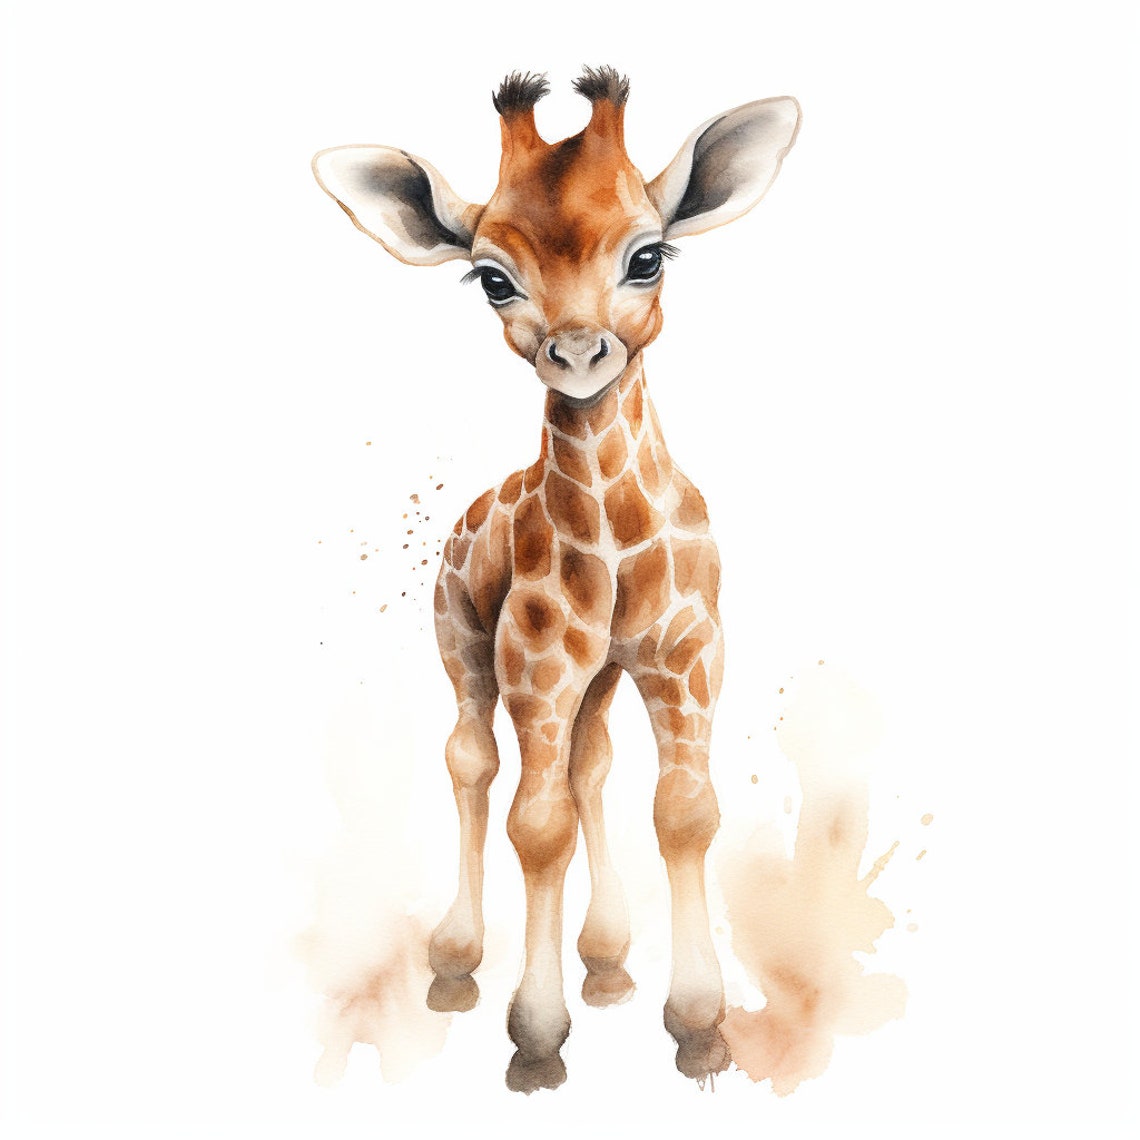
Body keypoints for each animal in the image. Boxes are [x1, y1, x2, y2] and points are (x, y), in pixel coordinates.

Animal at [313, 67, 800, 1092]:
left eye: (649, 256)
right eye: (492, 277)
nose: (577, 356)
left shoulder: (686, 655)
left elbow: (684, 810)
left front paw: (697, 1028)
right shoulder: (536, 660)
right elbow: (535, 825)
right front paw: (535, 1039)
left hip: (598, 678)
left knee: (588, 767)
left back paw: (607, 964)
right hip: (464, 641)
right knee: (475, 761)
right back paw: (455, 965)